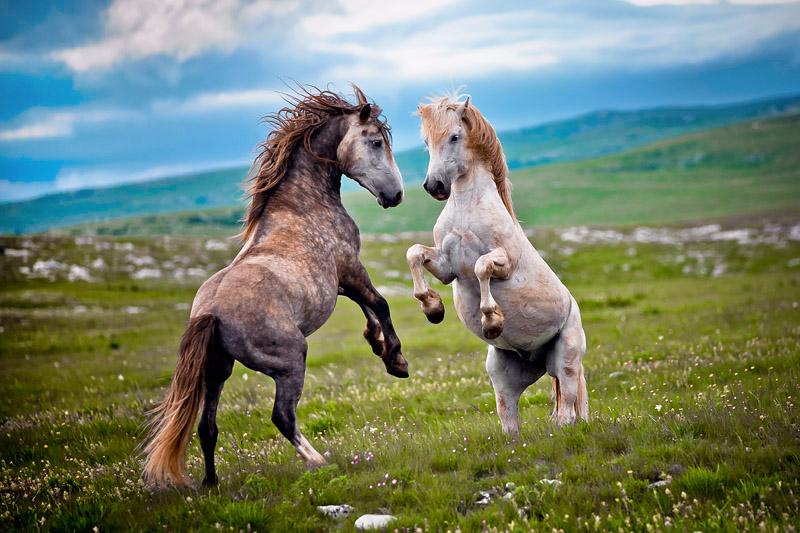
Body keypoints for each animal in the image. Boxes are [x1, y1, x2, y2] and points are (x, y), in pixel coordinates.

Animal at [143, 86, 409, 487]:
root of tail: (211, 313)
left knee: (207, 427)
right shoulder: (349, 268)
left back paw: (211, 483)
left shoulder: (340, 281)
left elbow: (369, 309)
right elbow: (380, 304)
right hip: (290, 361)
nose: (395, 195)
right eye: (376, 141)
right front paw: (395, 360)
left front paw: (376, 344)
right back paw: (319, 461)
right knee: (282, 416)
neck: (302, 205)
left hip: (216, 372)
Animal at [406, 95, 588, 435]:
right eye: (426, 142)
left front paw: (492, 320)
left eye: (454, 136)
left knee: (567, 412)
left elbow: (481, 267)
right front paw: (432, 308)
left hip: (566, 363)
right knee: (510, 420)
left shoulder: (505, 263)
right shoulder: (446, 267)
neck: (467, 208)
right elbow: (414, 254)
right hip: (503, 375)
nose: (434, 186)